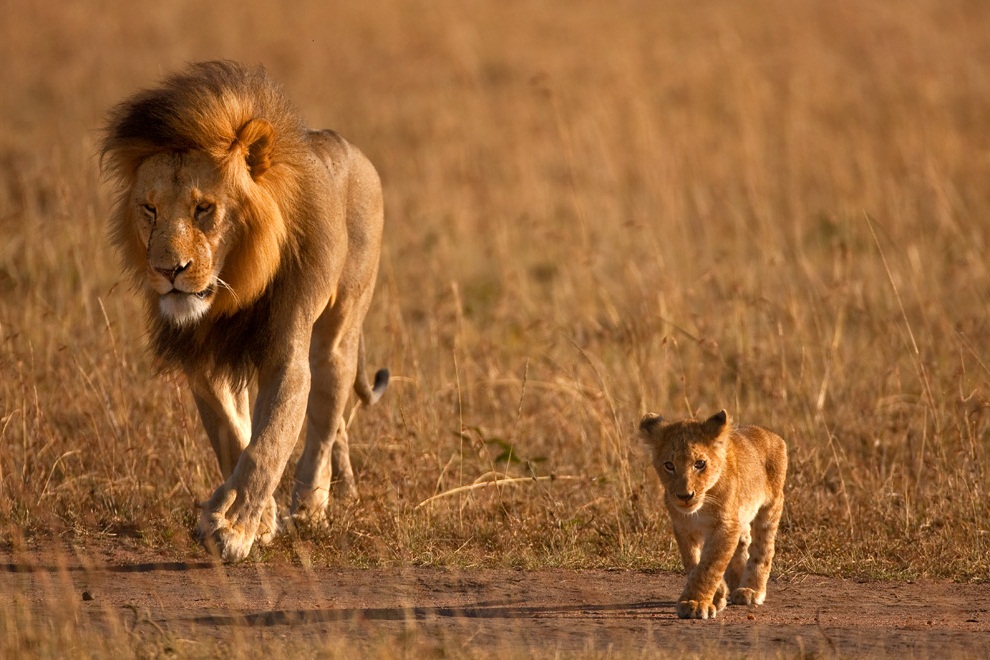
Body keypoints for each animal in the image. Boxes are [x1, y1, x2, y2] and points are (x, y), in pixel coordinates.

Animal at [101, 60, 389, 562]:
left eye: (204, 209)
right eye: (149, 209)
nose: (169, 270)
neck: (230, 289)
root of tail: (353, 150)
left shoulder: (285, 356)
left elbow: (266, 448)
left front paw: (234, 530)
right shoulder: (203, 360)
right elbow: (235, 439)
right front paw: (254, 521)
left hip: (338, 333)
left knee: (324, 422)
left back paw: (311, 509)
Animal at [638, 410, 787, 619]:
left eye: (699, 464)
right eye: (669, 465)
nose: (685, 496)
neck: (700, 508)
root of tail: (768, 433)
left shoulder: (725, 525)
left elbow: (710, 565)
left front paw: (695, 603)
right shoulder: (683, 527)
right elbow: (693, 563)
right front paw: (717, 594)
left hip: (771, 506)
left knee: (763, 547)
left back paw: (751, 590)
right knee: (744, 541)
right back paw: (735, 583)